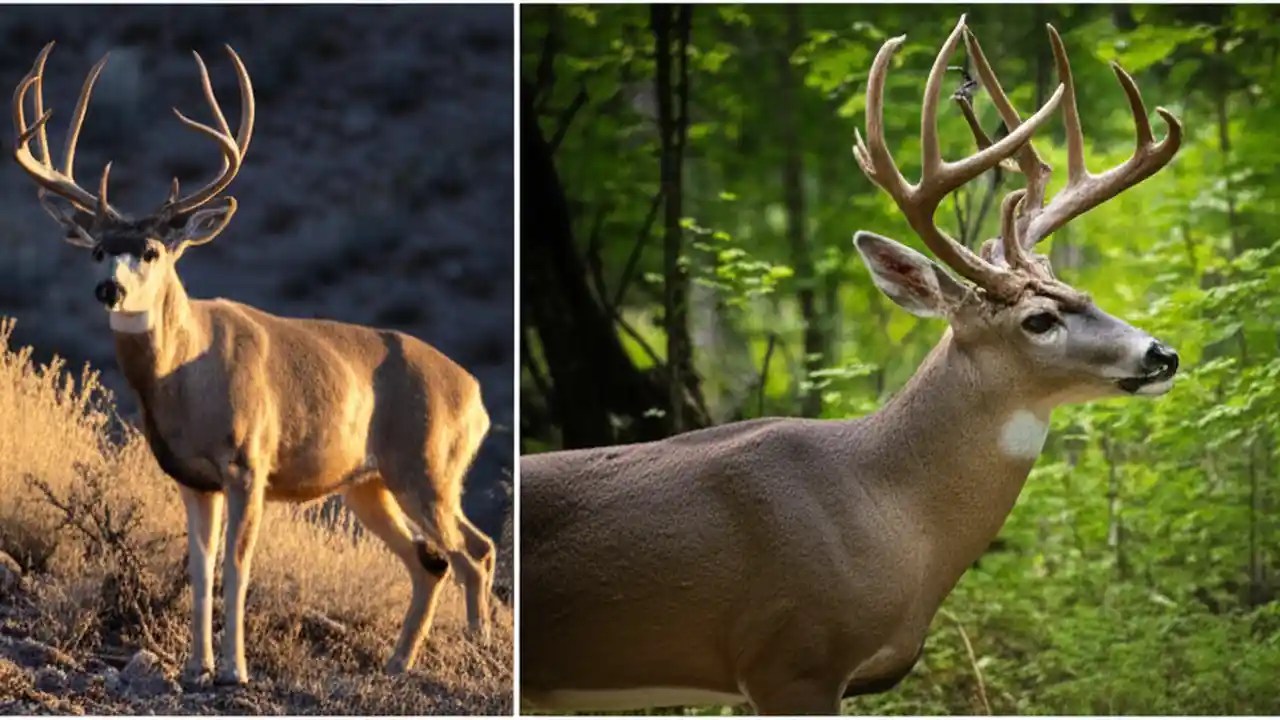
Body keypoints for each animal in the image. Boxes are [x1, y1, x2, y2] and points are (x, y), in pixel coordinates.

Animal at [12, 43, 497, 686]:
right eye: (97, 250)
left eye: (152, 250)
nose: (108, 290)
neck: (187, 379)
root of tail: (476, 395)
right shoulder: (192, 476)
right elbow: (198, 567)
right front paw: (195, 668)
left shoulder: (249, 462)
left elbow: (237, 567)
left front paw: (234, 671)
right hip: (370, 482)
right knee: (432, 561)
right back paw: (397, 664)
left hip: (428, 464)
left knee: (475, 551)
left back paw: (480, 653)